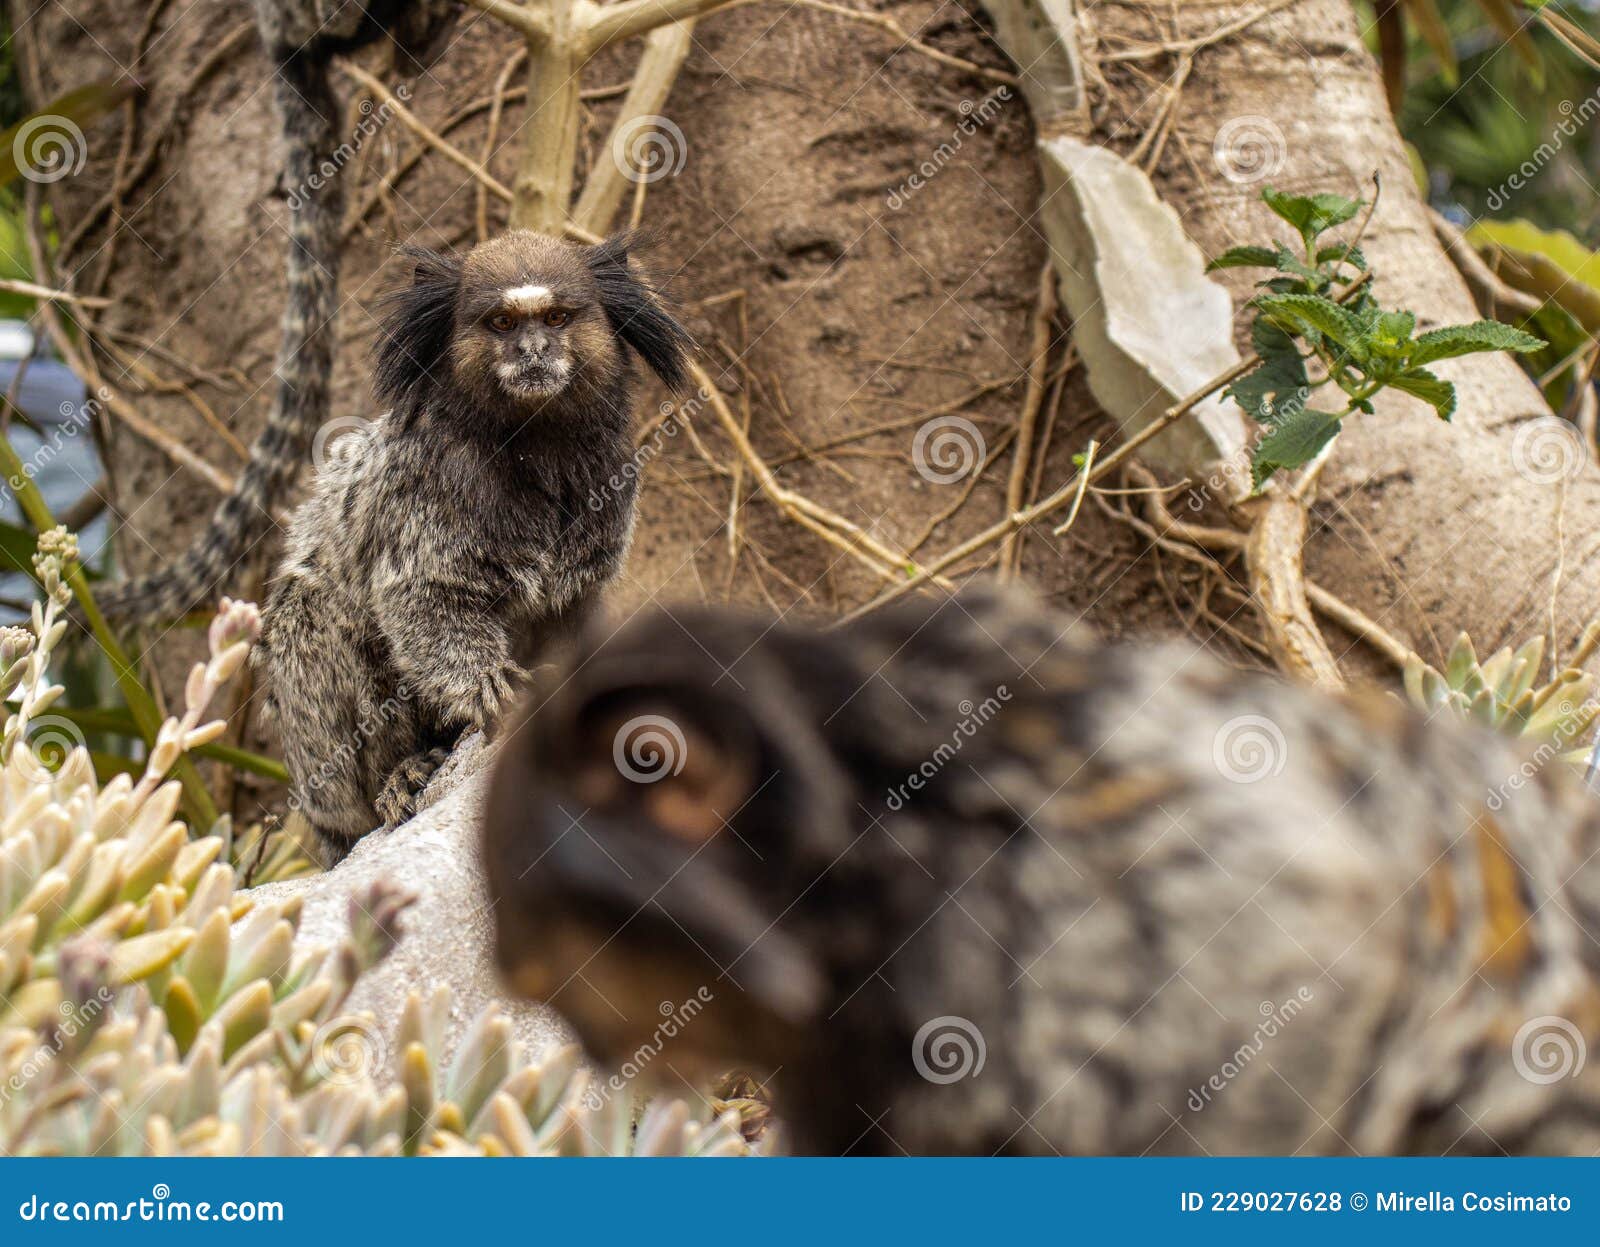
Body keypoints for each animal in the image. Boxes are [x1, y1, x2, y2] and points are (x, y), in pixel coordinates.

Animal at [258, 228, 692, 866]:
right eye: (503, 323)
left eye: (557, 318)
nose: (534, 351)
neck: (537, 448)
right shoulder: (427, 488)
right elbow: (423, 599)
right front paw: (487, 684)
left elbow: (570, 612)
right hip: (323, 774)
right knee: (311, 613)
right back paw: (405, 773)